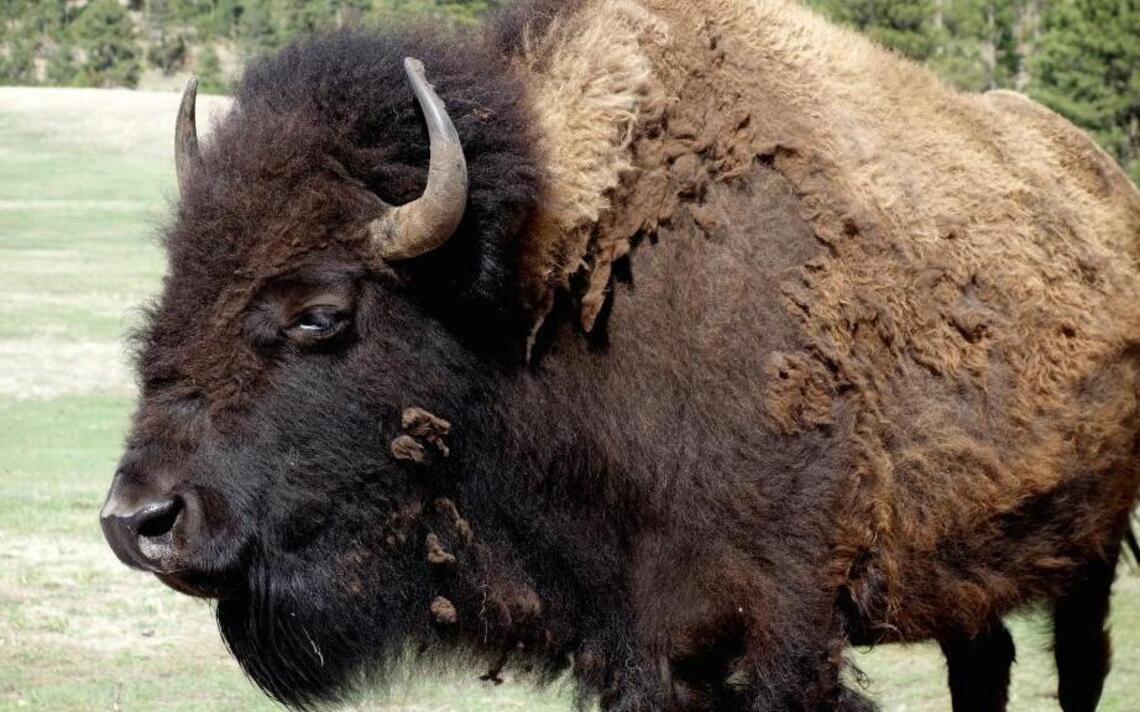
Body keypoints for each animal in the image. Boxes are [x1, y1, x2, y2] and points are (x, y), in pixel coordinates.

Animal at [99, 0, 1140, 710]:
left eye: (320, 313)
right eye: (174, 279)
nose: (139, 521)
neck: (540, 295)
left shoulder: (781, 630)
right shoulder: (644, 645)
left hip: (1088, 550)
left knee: (1076, 662)